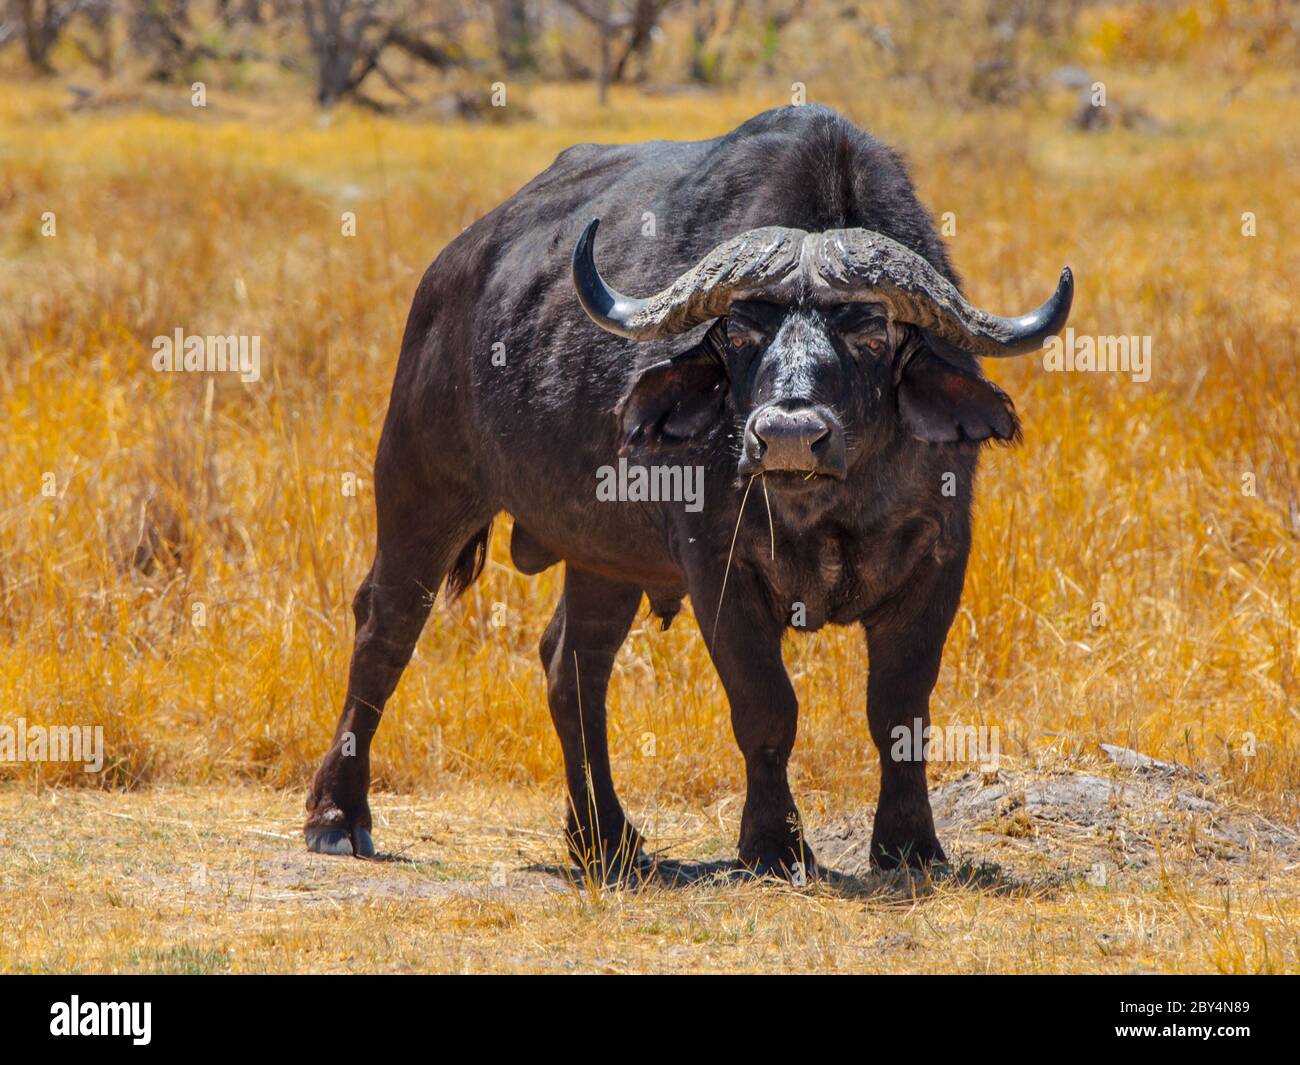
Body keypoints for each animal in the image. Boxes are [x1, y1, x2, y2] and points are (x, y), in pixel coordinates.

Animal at [305, 104, 1072, 879]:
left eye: (871, 330)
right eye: (741, 329)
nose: (788, 434)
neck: (823, 508)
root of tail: (449, 276)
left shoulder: (939, 560)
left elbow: (900, 710)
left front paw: (910, 843)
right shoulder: (717, 568)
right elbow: (766, 707)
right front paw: (774, 844)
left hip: (602, 559)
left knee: (570, 665)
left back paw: (605, 838)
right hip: (421, 487)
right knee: (384, 632)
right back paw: (338, 817)